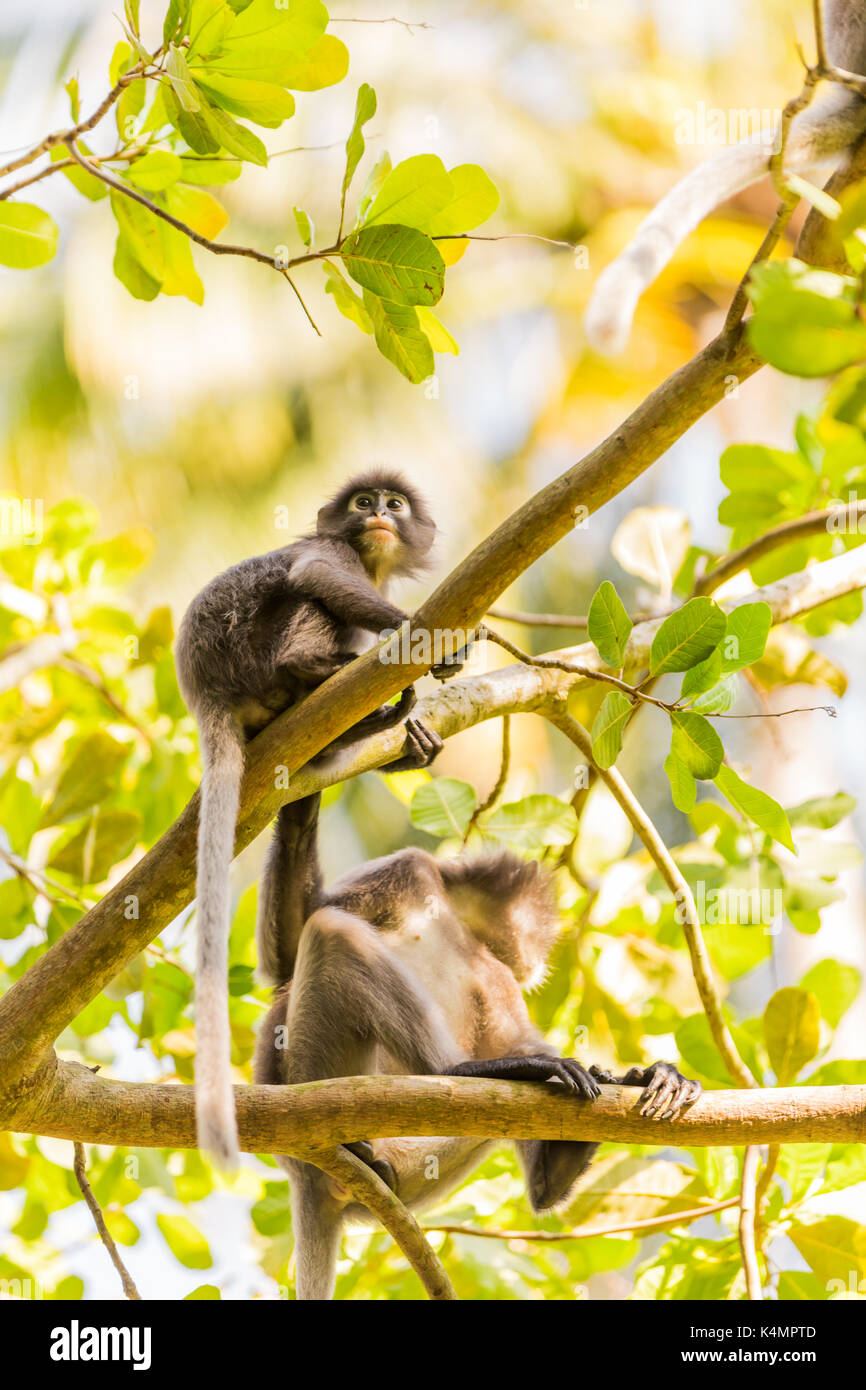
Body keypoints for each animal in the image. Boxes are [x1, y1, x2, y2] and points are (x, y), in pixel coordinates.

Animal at [176, 470, 458, 1169]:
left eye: (394, 505)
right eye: (363, 503)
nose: (379, 512)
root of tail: (204, 691)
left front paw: (413, 743)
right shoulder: (332, 552)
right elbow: (314, 575)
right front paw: (420, 633)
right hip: (246, 645)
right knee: (310, 602)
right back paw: (311, 670)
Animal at [253, 794, 701, 1301]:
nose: (534, 964)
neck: (455, 923)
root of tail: (303, 1176)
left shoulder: (496, 975)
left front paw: (645, 1075)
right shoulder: (408, 869)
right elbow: (286, 958)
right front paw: (298, 801)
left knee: (529, 1167)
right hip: (310, 1074)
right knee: (332, 930)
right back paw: (460, 1071)